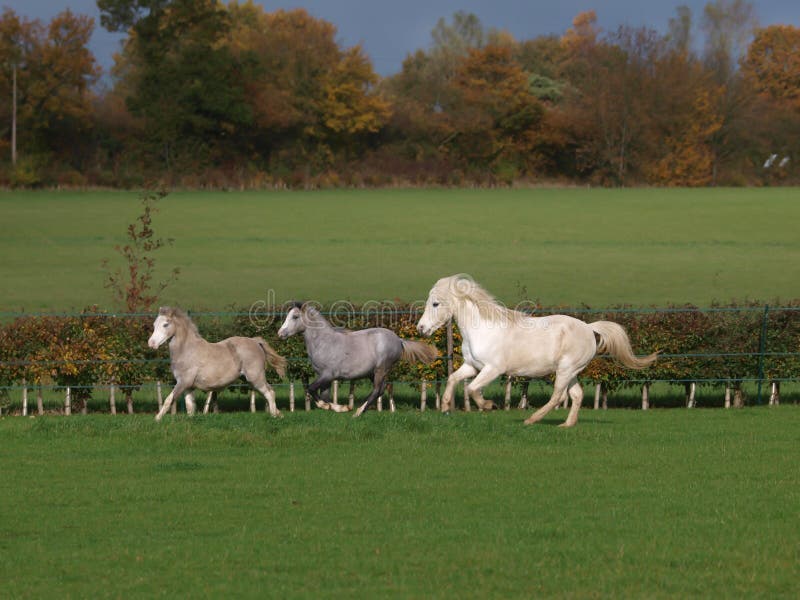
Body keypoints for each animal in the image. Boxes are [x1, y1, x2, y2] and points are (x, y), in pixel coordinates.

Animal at [148, 306, 287, 421]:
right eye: (154, 324)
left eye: (165, 324)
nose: (151, 344)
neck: (186, 350)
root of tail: (255, 341)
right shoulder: (188, 386)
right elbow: (189, 406)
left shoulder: (183, 382)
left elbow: (168, 400)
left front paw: (157, 418)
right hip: (251, 380)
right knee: (270, 392)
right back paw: (279, 414)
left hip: (256, 378)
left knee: (269, 393)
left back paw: (274, 416)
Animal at [277, 303, 439, 417]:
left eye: (295, 317)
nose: (280, 333)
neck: (324, 342)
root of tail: (398, 340)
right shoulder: (324, 378)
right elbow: (324, 396)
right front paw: (337, 407)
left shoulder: (328, 374)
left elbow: (310, 388)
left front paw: (337, 407)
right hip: (372, 372)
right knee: (381, 390)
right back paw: (361, 409)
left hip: (381, 369)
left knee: (377, 390)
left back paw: (358, 411)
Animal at [416, 275, 657, 427]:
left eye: (435, 304)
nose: (421, 328)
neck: (483, 329)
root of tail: (589, 329)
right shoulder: (472, 366)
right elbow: (452, 379)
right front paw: (445, 407)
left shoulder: (493, 369)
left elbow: (472, 389)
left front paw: (489, 405)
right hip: (572, 372)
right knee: (576, 395)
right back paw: (566, 425)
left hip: (565, 370)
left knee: (558, 396)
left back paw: (531, 420)